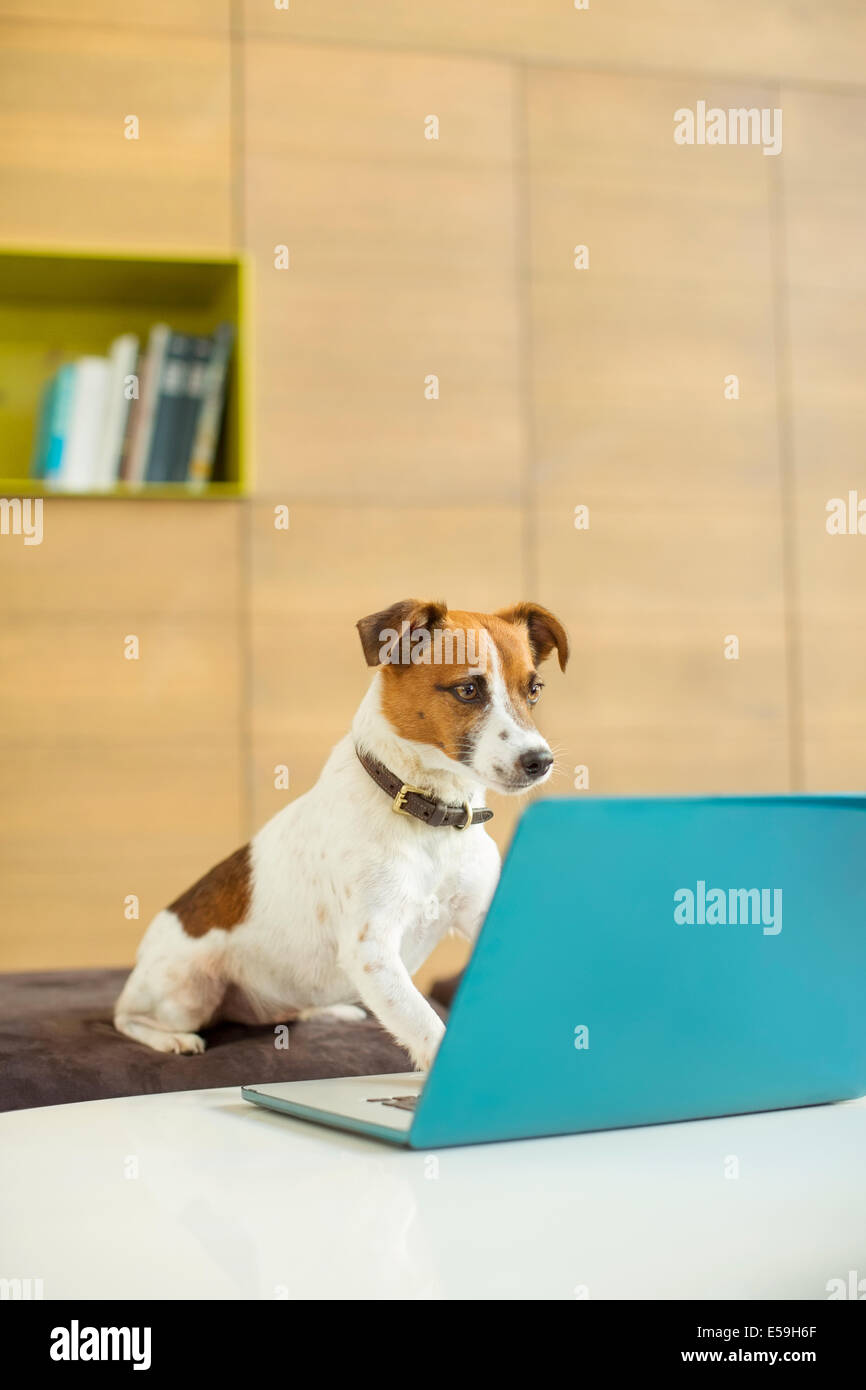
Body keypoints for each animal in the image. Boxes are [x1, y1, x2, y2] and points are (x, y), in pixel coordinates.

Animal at [115, 594, 569, 1061]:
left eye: (534, 690)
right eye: (468, 690)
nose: (540, 761)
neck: (429, 813)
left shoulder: (479, 915)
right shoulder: (372, 948)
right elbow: (426, 1024)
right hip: (187, 989)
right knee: (126, 1019)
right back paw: (169, 1038)